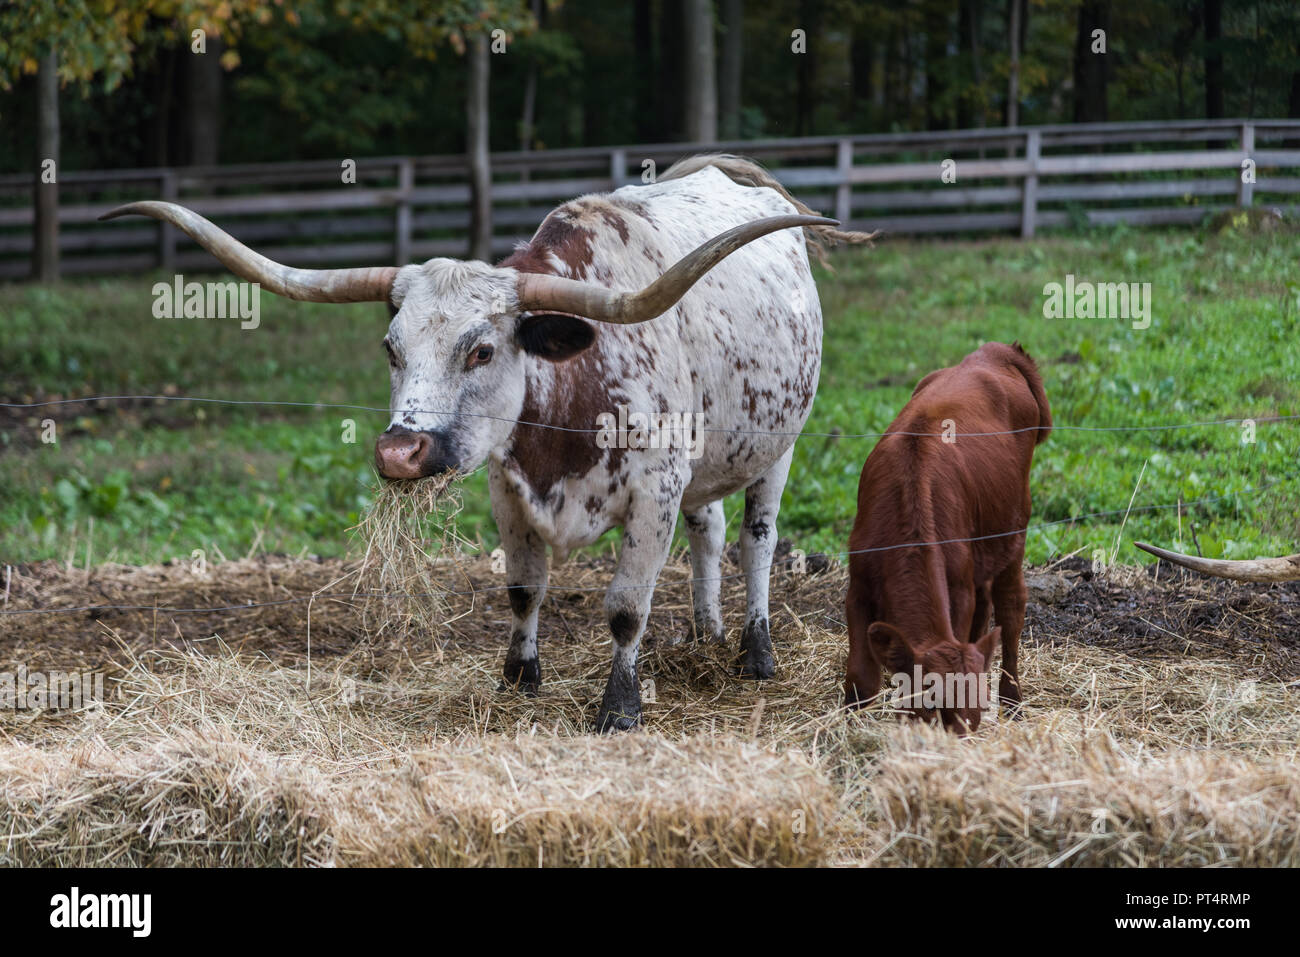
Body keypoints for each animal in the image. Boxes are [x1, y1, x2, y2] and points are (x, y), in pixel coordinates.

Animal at [102, 155, 874, 732]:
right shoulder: (510, 487)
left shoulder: (653, 489)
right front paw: (518, 676)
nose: (399, 452)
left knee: (756, 541)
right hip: (708, 458)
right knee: (709, 529)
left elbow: (626, 605)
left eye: (481, 351)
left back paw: (753, 651)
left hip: (777, 447)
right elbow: (524, 589)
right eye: (390, 348)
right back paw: (706, 635)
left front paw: (620, 706)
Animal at [843, 342, 1052, 734]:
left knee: (1011, 607)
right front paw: (847, 721)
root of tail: (994, 352)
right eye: (932, 701)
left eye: (974, 710)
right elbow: (862, 676)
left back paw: (1012, 700)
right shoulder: (858, 586)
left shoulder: (958, 590)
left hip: (1015, 531)